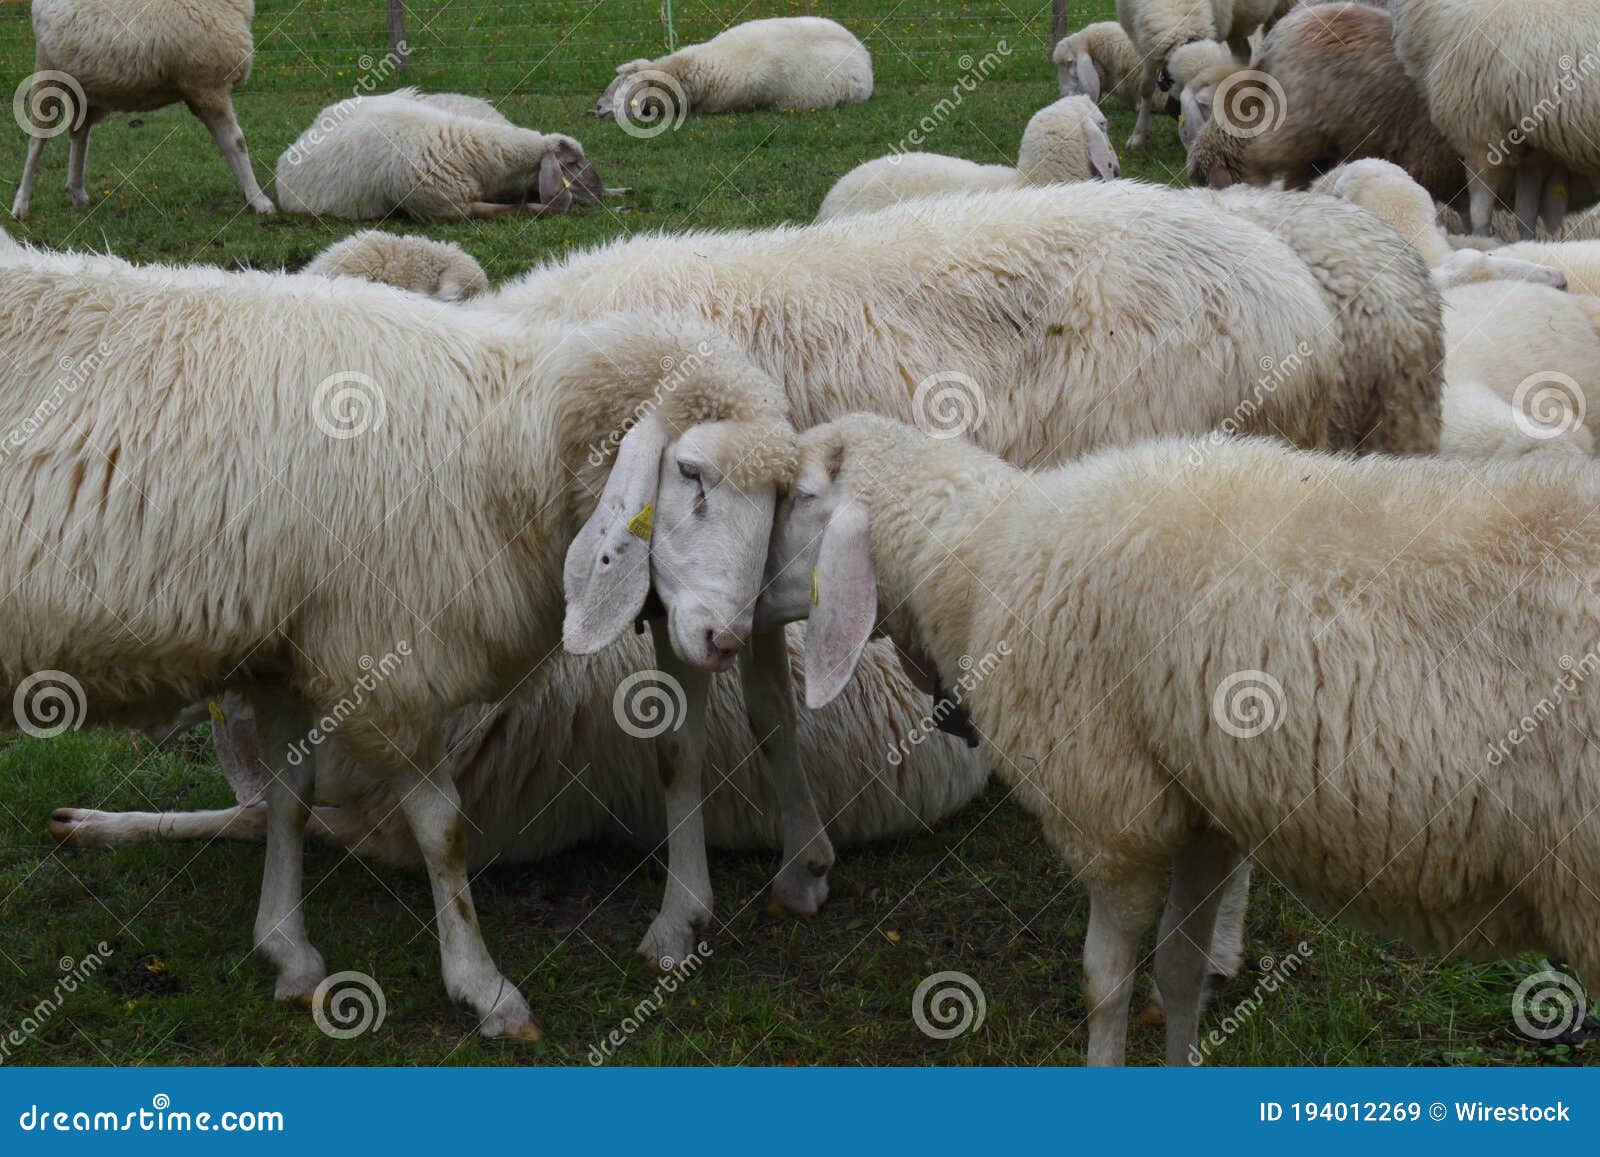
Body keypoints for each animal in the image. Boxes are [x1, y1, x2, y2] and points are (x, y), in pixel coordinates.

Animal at [0, 242, 799, 1038]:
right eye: (690, 471)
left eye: (778, 498)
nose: (727, 637)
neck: (503, 449)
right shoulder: (386, 660)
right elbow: (443, 831)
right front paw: (484, 987)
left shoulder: (293, 646)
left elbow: (287, 801)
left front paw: (288, 952)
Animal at [12, 0, 272, 218]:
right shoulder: (208, 86)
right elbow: (236, 142)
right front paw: (260, 200)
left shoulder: (202, 91)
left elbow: (227, 144)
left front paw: (250, 196)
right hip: (48, 69)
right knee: (37, 139)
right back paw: (21, 205)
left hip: (88, 90)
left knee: (79, 134)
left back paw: (76, 192)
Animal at [756, 411, 1600, 1065]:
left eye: (799, 499)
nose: (744, 601)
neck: (987, 551)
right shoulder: (1206, 807)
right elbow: (1180, 973)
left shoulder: (1112, 812)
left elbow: (1105, 984)